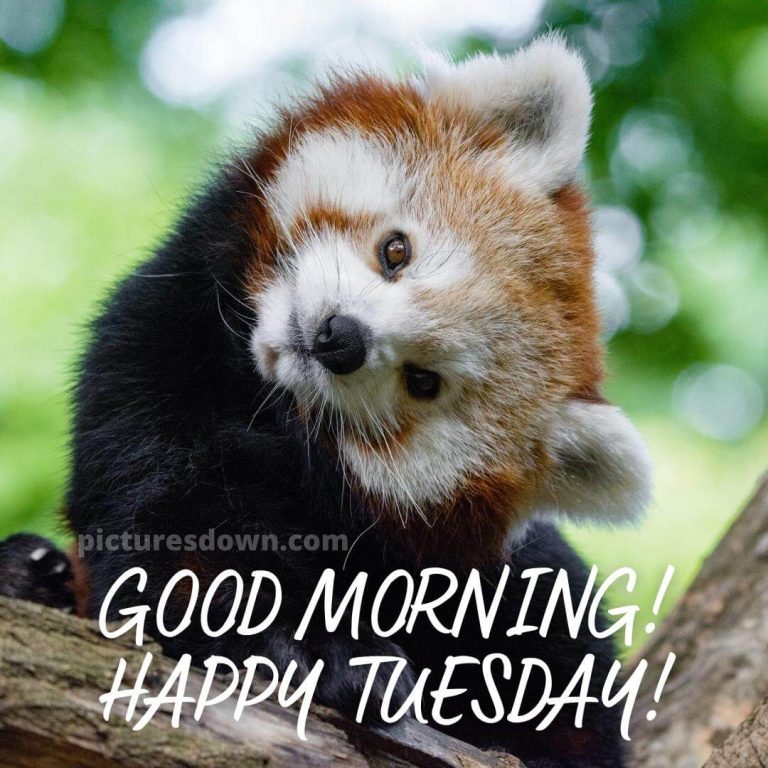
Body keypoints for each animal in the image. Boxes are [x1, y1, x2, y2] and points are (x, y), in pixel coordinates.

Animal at [0, 35, 652, 768]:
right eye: (396, 251)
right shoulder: (149, 365)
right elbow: (149, 515)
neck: (257, 406)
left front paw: (320, 652)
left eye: (424, 381)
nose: (340, 338)